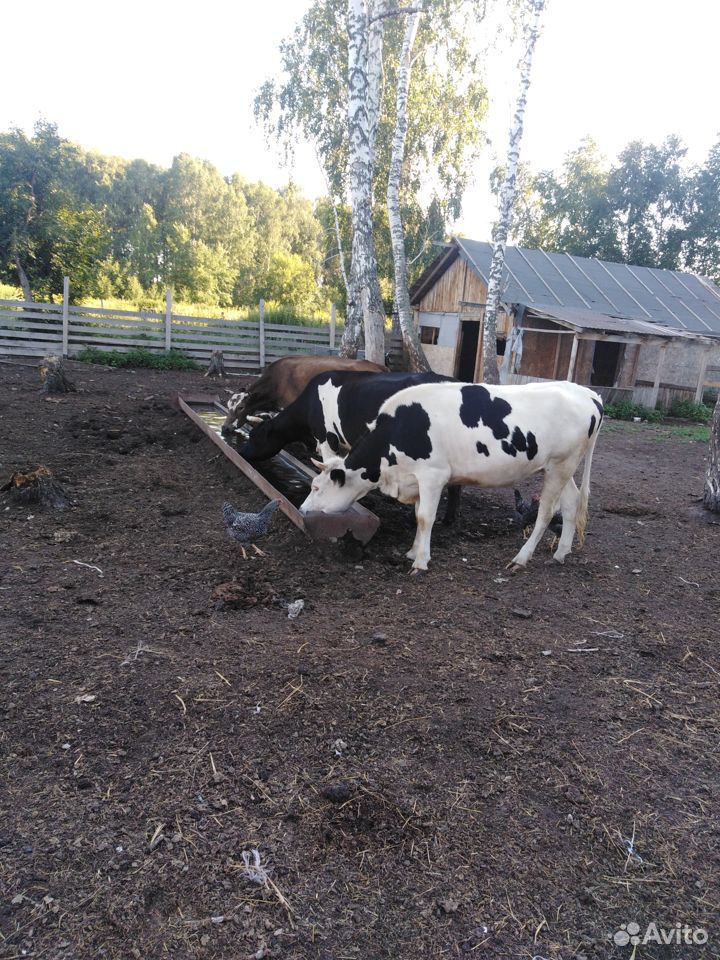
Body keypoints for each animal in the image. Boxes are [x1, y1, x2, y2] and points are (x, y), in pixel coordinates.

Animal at [299, 380, 604, 573]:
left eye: (316, 488)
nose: (302, 510)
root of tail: (589, 394)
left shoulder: (433, 475)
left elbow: (425, 517)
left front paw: (420, 562)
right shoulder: (415, 479)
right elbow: (418, 514)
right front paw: (413, 551)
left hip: (560, 465)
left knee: (546, 512)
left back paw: (521, 558)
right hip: (561, 466)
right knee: (571, 503)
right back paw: (560, 554)